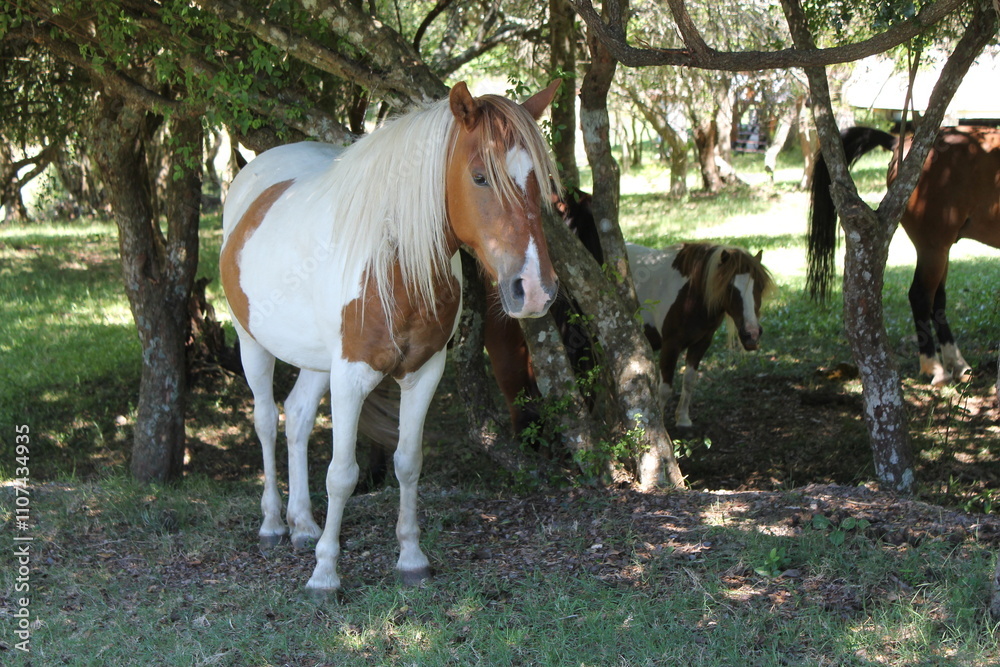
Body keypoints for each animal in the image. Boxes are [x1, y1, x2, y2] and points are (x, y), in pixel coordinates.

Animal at [220, 80, 562, 592]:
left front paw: (411, 558)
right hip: (252, 343)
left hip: (316, 359)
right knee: (265, 419)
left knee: (297, 417)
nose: (536, 289)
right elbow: (342, 474)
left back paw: (303, 524)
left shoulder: (423, 373)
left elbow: (408, 462)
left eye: (537, 178)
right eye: (481, 177)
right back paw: (274, 524)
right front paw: (326, 575)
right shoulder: (351, 375)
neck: (394, 265)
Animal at [629, 242, 775, 428]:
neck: (690, 294)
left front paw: (683, 419)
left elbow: (689, 381)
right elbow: (664, 389)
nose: (752, 334)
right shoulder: (670, 345)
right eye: (729, 287)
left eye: (760, 287)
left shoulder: (702, 342)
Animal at [808, 125, 1000, 386]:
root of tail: (902, 142)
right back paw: (934, 368)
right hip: (932, 248)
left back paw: (957, 364)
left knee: (937, 300)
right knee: (921, 296)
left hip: (939, 249)